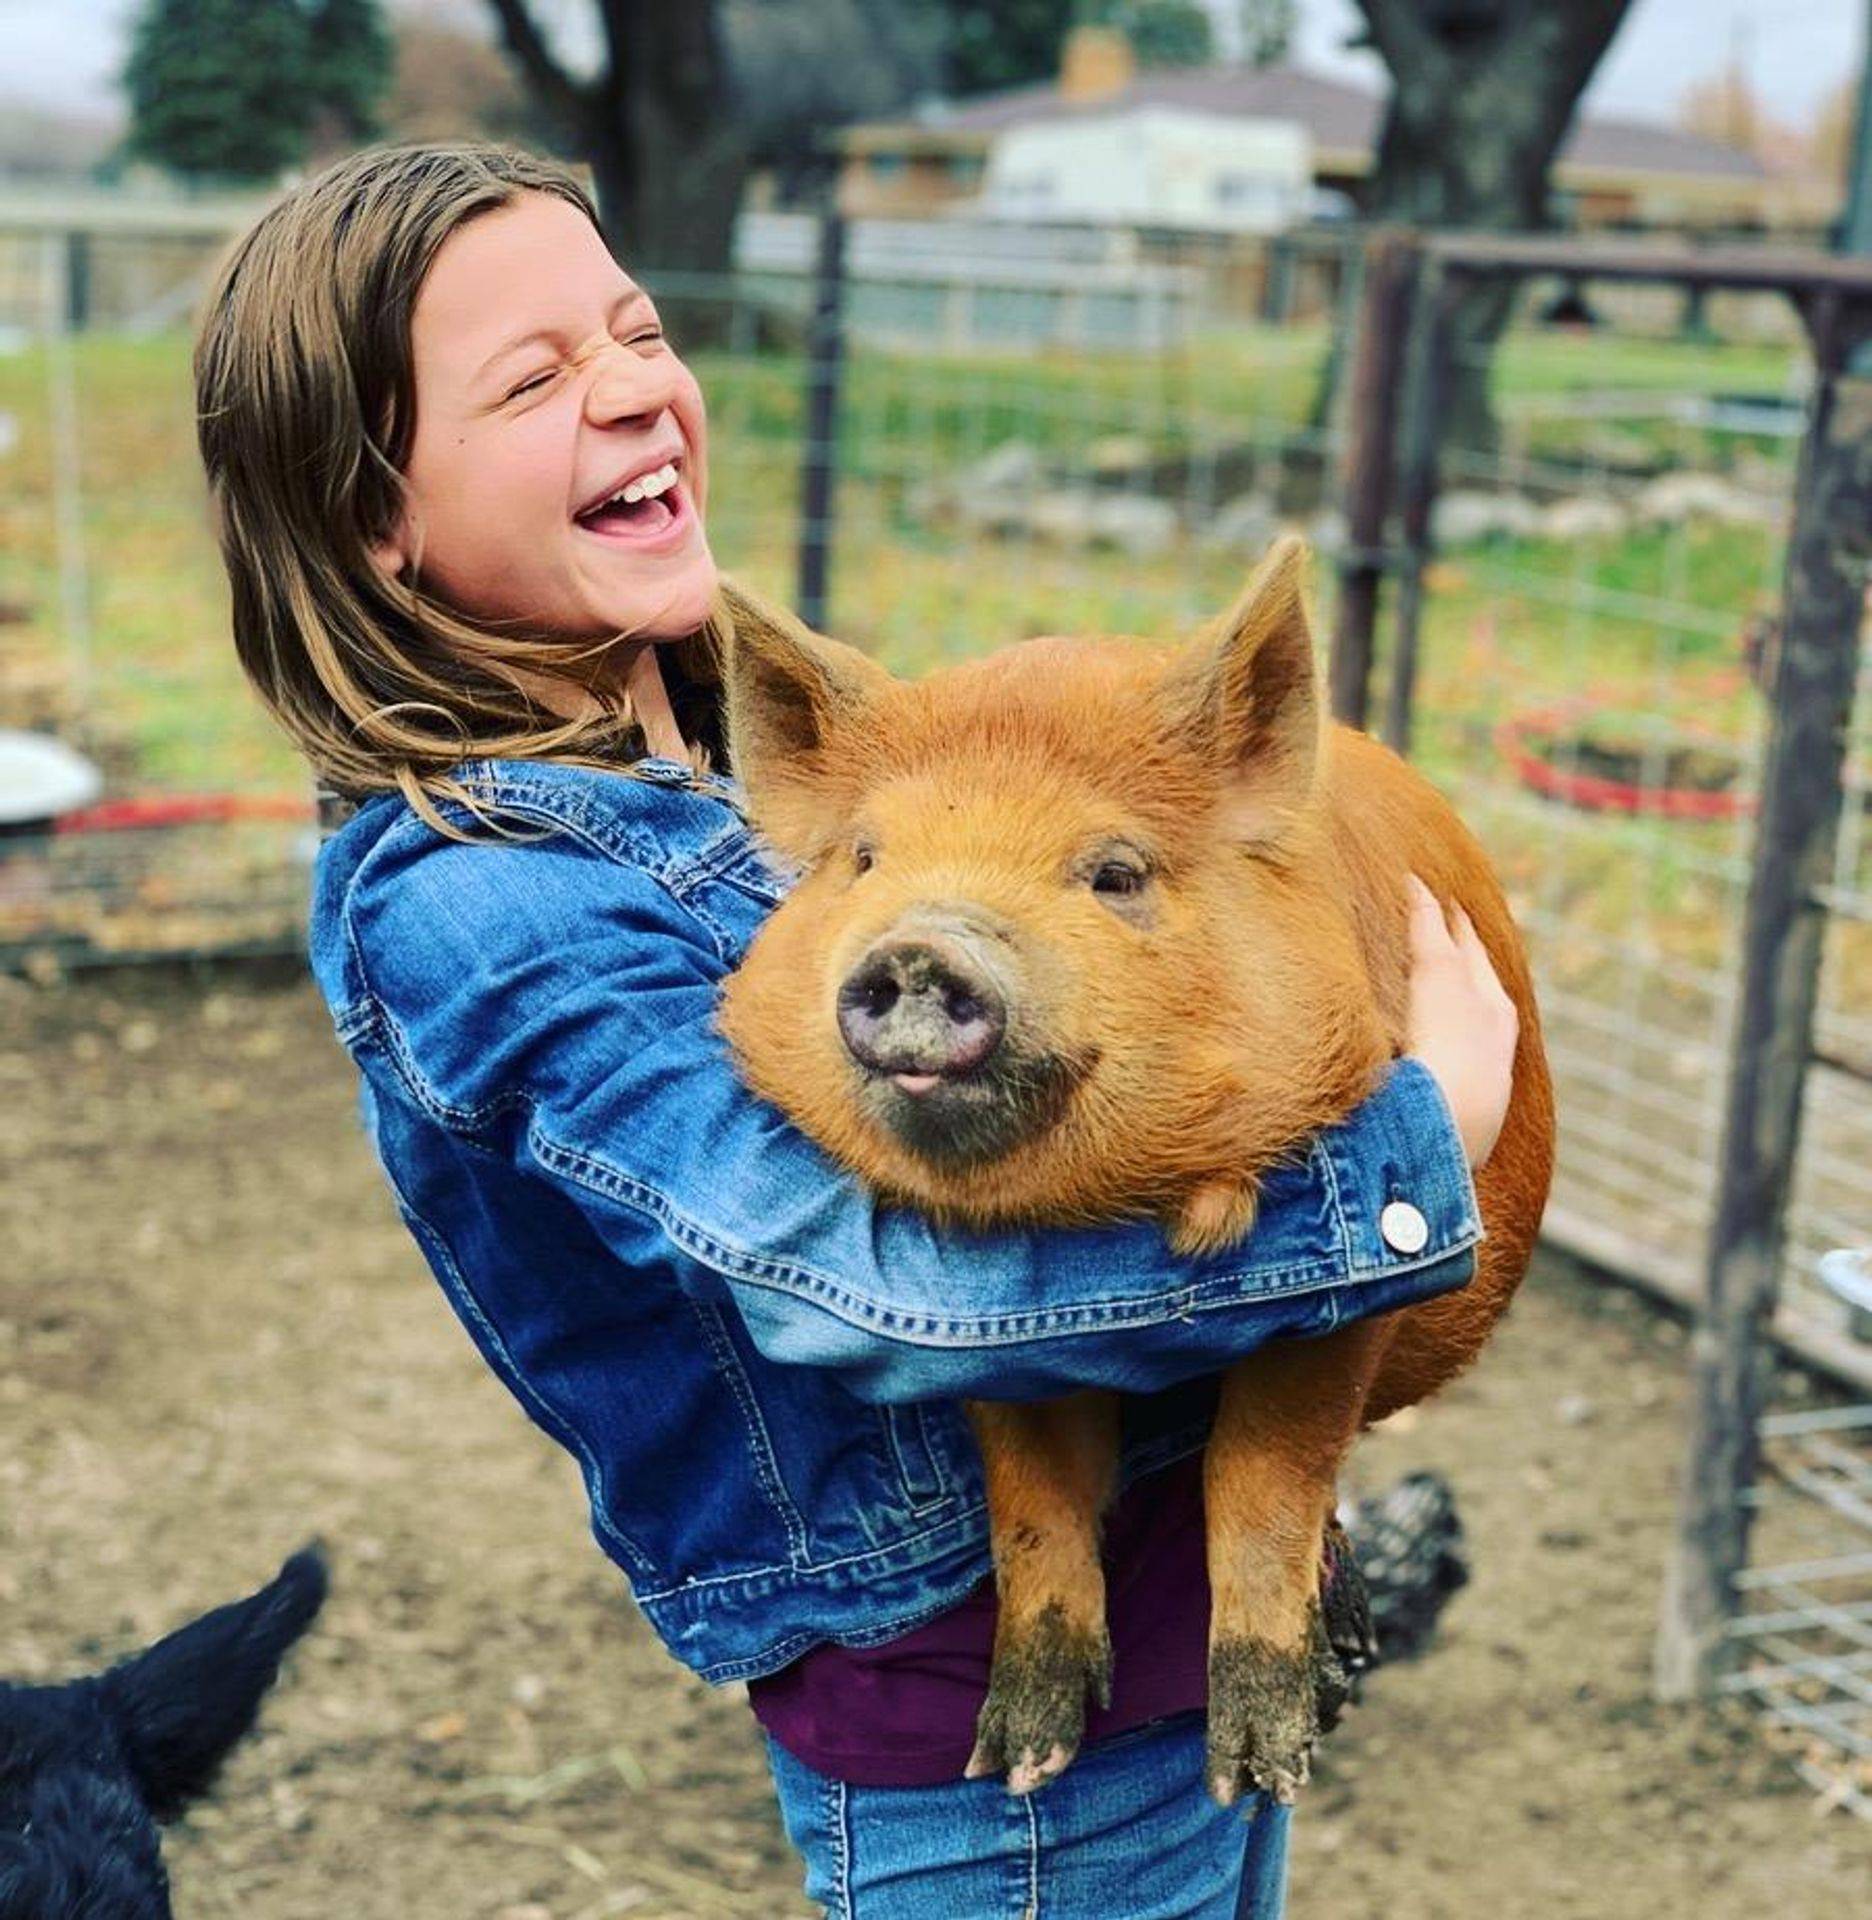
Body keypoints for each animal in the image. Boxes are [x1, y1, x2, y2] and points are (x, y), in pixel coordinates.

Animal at [715, 538, 1554, 1806]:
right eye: (865, 858)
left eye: (1114, 872)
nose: (921, 946)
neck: (1086, 1211)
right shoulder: (988, 1333)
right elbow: (1035, 1494)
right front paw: (1018, 1759)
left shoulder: (1349, 1277)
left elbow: (1265, 1468)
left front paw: (1257, 1772)